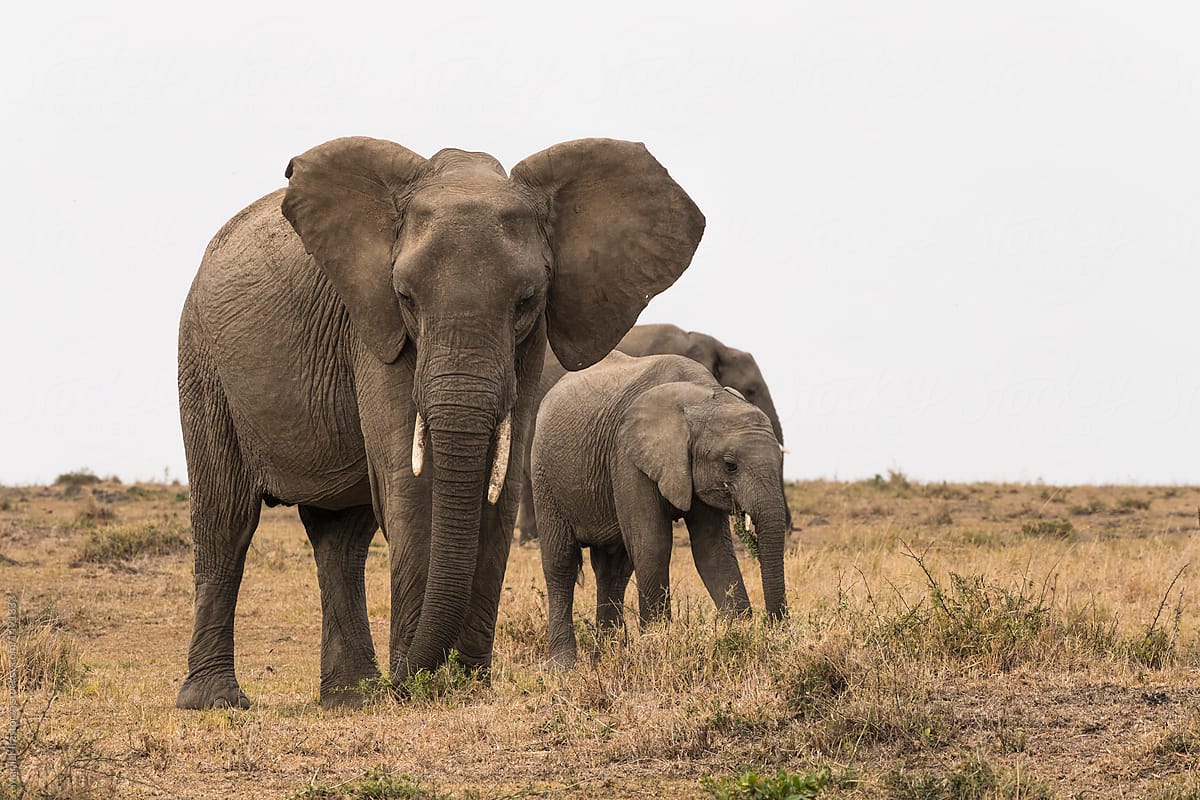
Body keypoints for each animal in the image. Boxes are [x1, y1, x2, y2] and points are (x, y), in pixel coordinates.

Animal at [176, 136, 704, 709]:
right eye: (405, 297)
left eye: (527, 300)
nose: (408, 679)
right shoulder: (373, 325)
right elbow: (411, 487)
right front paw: (419, 687)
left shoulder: (529, 347)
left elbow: (499, 491)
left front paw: (469, 684)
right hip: (202, 360)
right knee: (226, 519)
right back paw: (216, 702)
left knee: (341, 538)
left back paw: (353, 697)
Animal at [530, 352, 788, 668]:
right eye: (730, 465)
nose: (776, 626)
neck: (703, 398)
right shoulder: (627, 457)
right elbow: (653, 545)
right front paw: (656, 646)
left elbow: (713, 551)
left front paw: (740, 635)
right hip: (545, 476)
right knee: (561, 563)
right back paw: (562, 666)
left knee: (613, 569)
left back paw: (608, 656)